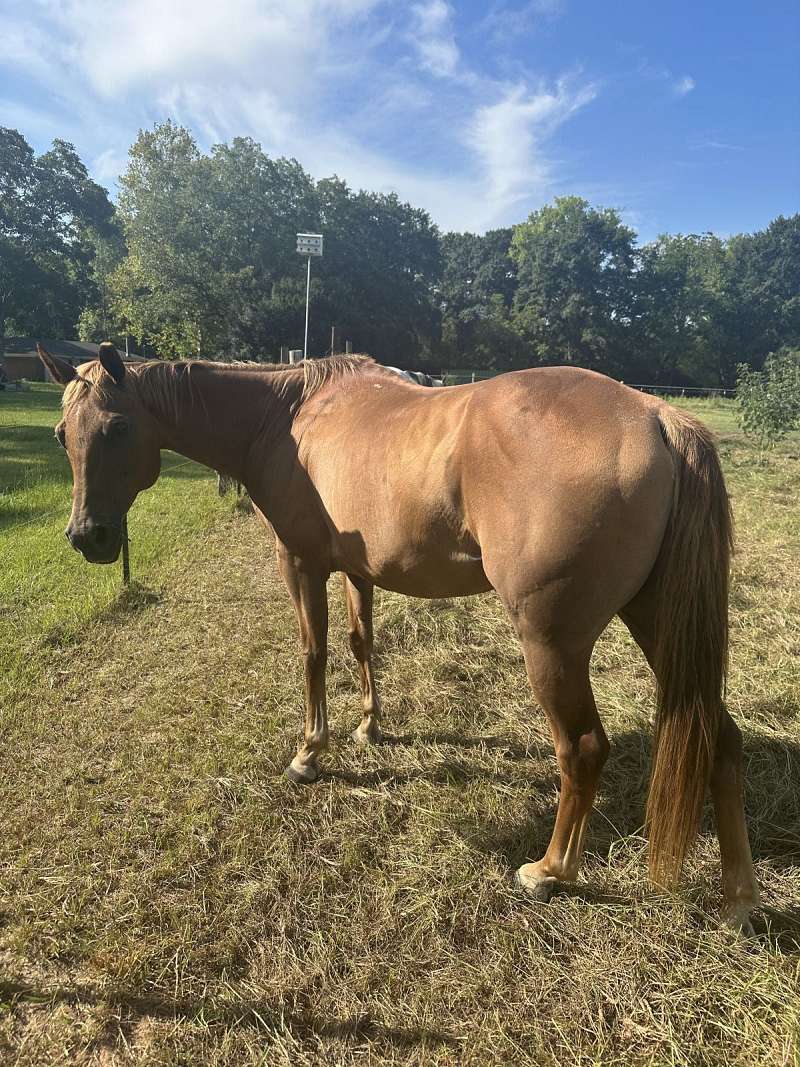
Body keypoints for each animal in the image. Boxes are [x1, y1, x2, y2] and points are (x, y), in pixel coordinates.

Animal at [37, 342, 759, 931]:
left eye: (118, 427)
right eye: (62, 434)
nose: (87, 537)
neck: (288, 416)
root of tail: (655, 417)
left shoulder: (301, 565)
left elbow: (314, 653)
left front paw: (310, 752)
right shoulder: (358, 570)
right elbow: (362, 644)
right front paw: (369, 726)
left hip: (553, 644)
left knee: (582, 748)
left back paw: (549, 871)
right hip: (659, 623)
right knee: (720, 738)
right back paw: (739, 898)